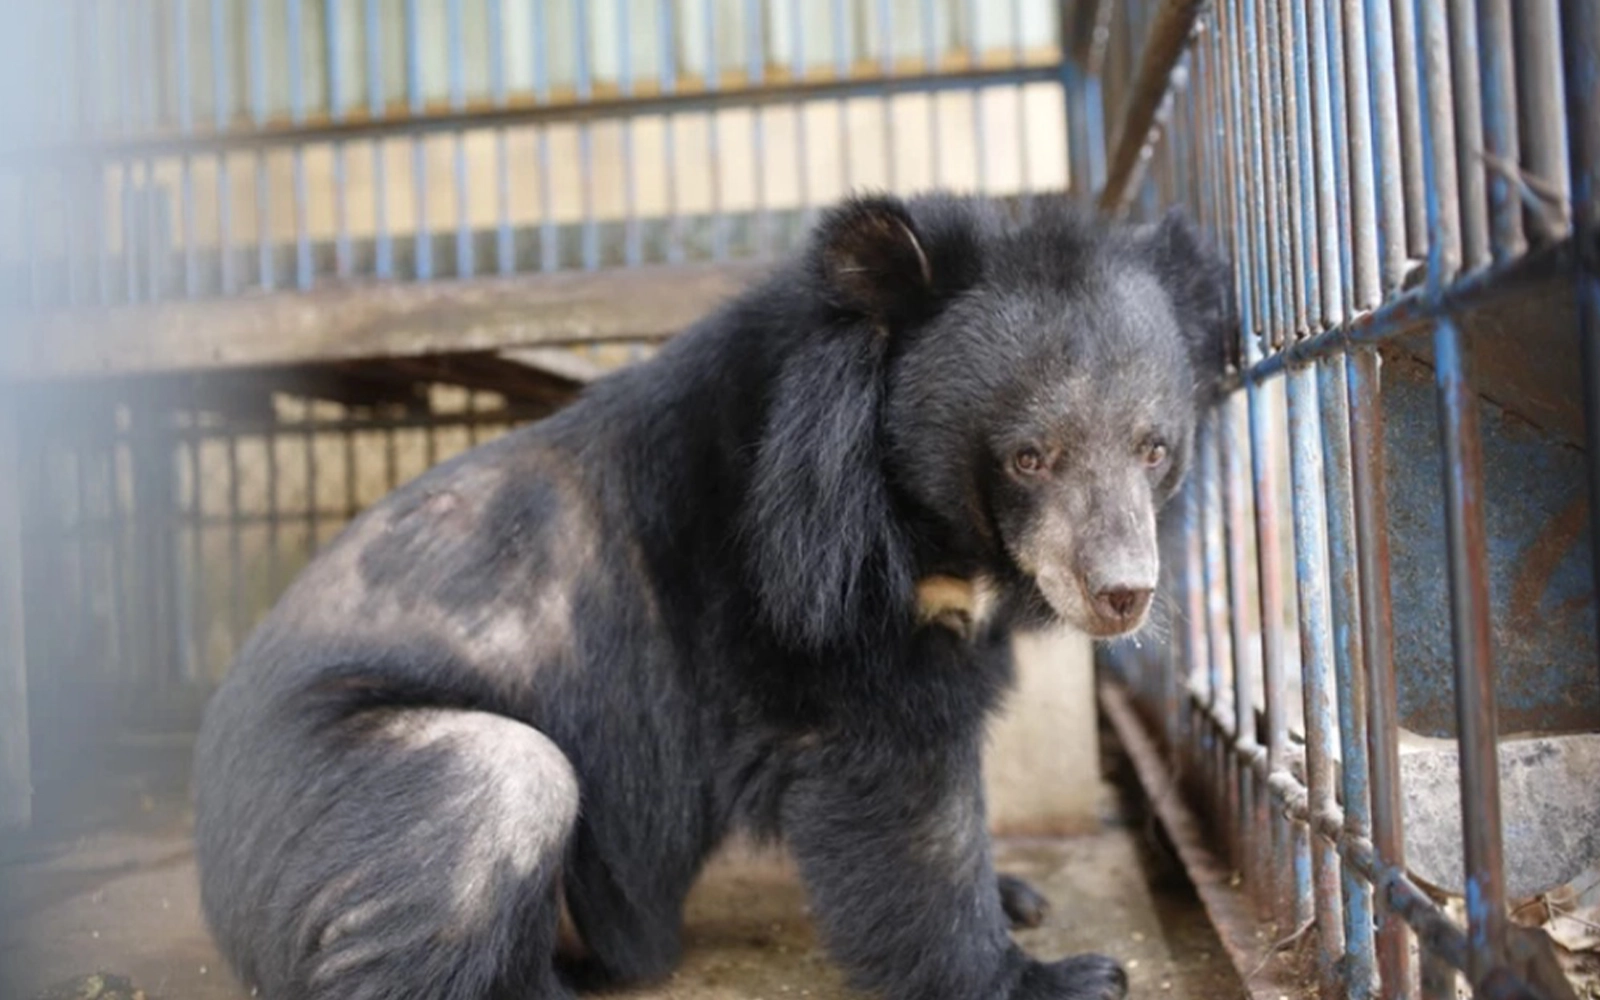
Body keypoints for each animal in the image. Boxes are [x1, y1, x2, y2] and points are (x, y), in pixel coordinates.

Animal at [190, 191, 1233, 1000]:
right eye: (1030, 456)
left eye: (1154, 447)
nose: (1123, 594)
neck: (916, 520)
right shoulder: (792, 595)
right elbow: (902, 795)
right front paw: (1058, 973)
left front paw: (1018, 892)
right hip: (321, 792)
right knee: (501, 783)